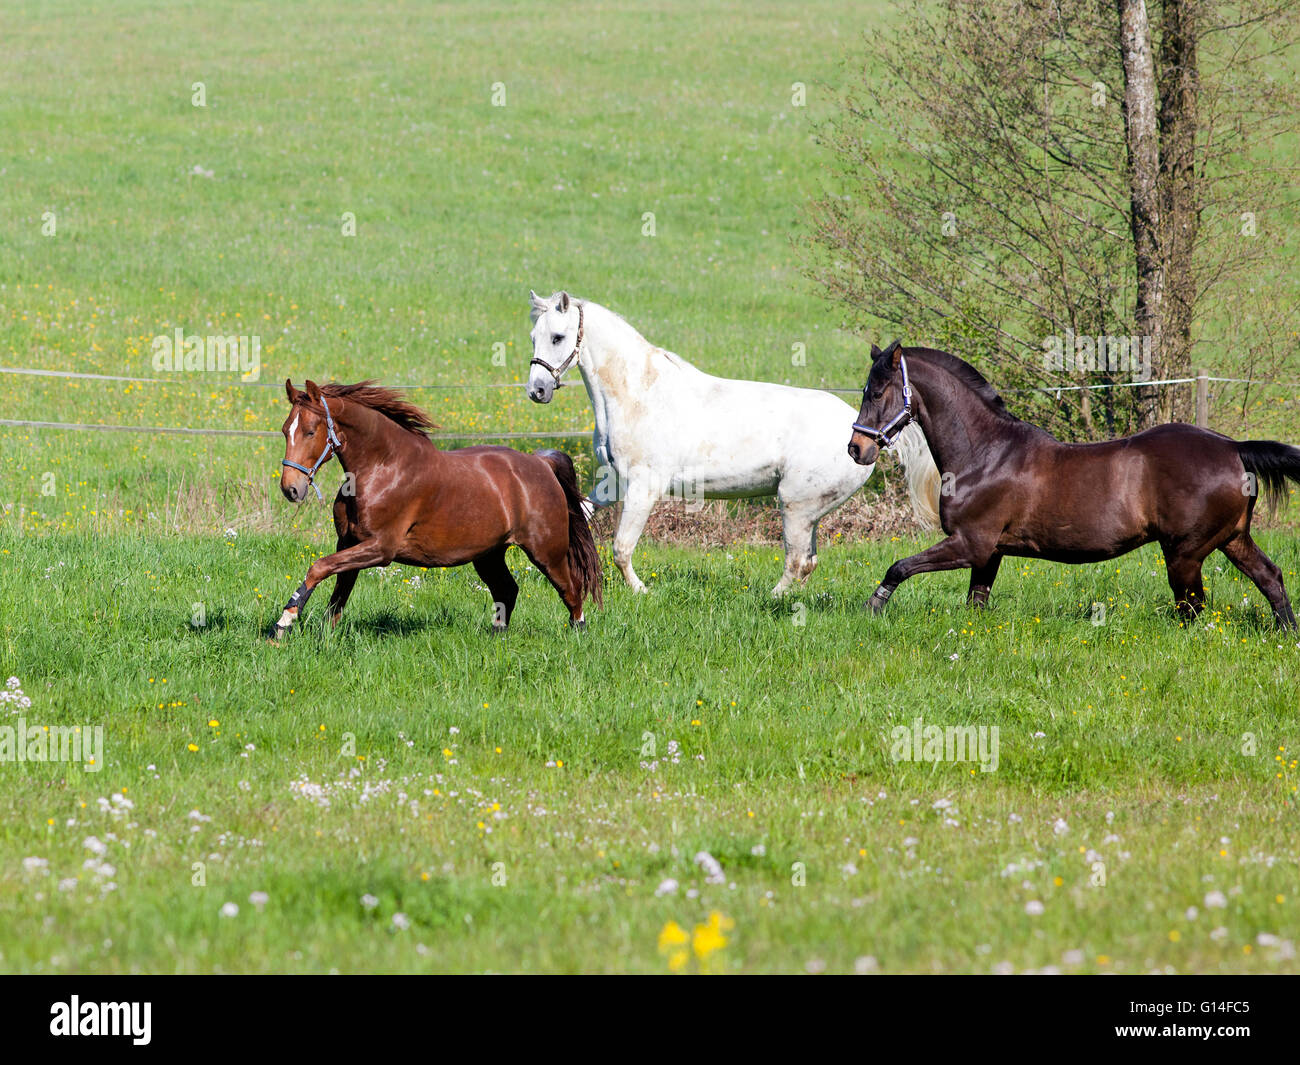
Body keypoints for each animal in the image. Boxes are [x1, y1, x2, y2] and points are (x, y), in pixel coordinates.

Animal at [272, 379, 602, 639]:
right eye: (285, 430)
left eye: (310, 431)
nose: (291, 488)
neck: (382, 468)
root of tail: (541, 463)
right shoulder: (349, 543)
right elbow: (337, 597)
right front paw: (322, 636)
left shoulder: (380, 548)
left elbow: (318, 568)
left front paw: (283, 624)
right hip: (489, 555)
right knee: (507, 590)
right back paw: (496, 637)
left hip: (546, 552)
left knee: (572, 592)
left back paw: (580, 635)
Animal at [525, 290, 941, 596]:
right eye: (533, 337)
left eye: (558, 337)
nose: (537, 391)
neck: (637, 394)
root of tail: (865, 434)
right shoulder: (612, 482)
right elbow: (581, 511)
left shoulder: (645, 486)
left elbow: (622, 548)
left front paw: (641, 591)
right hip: (811, 510)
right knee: (808, 562)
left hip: (794, 504)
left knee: (795, 562)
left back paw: (772, 599)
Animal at [846, 341, 1300, 628]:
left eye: (878, 392)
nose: (856, 448)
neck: (986, 454)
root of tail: (1233, 448)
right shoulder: (989, 552)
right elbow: (976, 603)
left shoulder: (970, 543)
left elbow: (899, 566)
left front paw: (872, 608)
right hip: (1232, 539)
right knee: (1270, 578)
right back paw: (1286, 634)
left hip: (1185, 552)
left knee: (1193, 607)